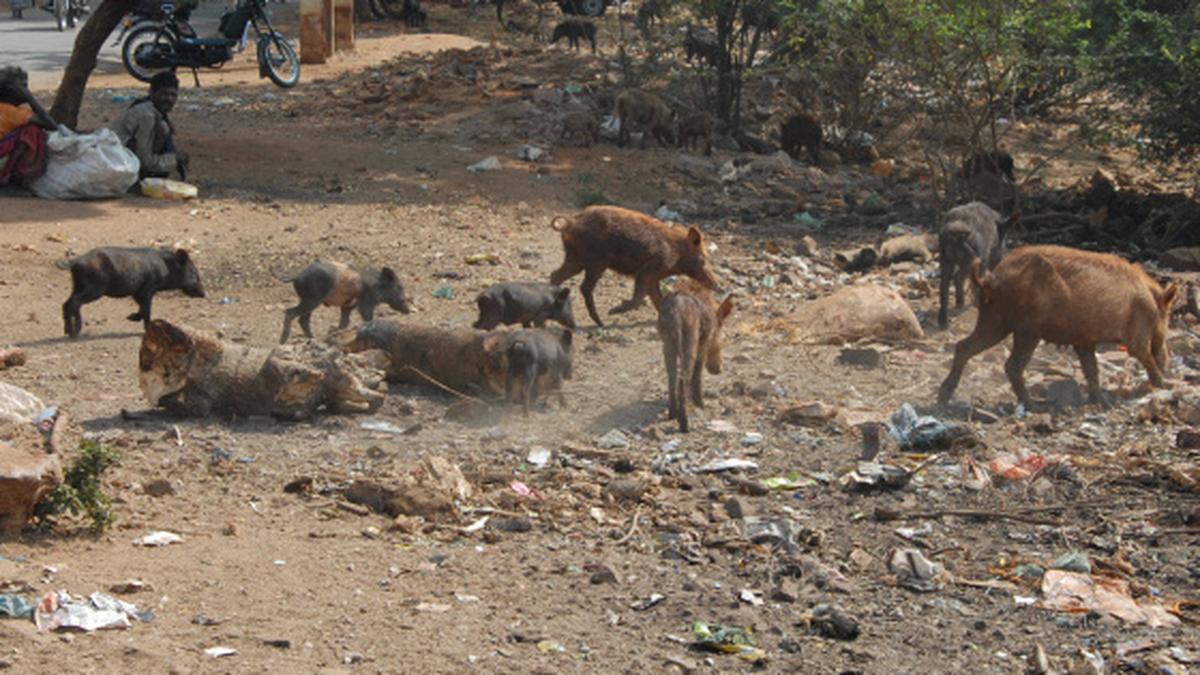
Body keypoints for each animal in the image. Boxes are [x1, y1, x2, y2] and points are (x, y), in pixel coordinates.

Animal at [62, 247, 206, 338]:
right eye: (194, 273)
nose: (204, 294)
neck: (166, 269)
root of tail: (75, 264)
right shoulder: (148, 289)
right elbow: (147, 311)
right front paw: (145, 329)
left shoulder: (137, 292)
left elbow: (142, 309)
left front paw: (129, 317)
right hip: (95, 289)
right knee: (74, 302)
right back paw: (75, 333)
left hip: (77, 286)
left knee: (66, 303)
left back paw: (67, 332)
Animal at [280, 261, 410, 343]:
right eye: (399, 287)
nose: (407, 310)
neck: (377, 286)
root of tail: (296, 276)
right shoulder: (366, 303)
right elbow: (367, 318)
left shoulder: (347, 306)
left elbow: (344, 323)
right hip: (311, 300)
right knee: (290, 312)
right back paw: (283, 341)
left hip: (309, 301)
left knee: (303, 320)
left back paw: (313, 338)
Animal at [549, 205, 718, 327]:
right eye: (703, 260)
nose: (717, 285)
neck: (675, 253)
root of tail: (570, 223)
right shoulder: (647, 270)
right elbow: (639, 298)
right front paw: (613, 311)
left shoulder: (654, 278)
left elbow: (658, 300)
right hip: (596, 261)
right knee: (584, 287)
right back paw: (602, 322)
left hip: (575, 258)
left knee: (556, 275)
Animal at [657, 280, 734, 432]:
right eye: (720, 338)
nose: (719, 369)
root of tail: (676, 313)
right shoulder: (703, 344)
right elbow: (698, 373)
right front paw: (700, 404)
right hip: (690, 339)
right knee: (683, 378)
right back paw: (684, 424)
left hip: (667, 342)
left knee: (672, 377)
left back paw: (672, 414)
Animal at [937, 245, 1180, 409]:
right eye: (1166, 318)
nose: (1168, 361)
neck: (1151, 301)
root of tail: (991, 279)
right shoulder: (1135, 334)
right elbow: (1143, 355)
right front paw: (1162, 385)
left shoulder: (1084, 341)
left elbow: (1091, 369)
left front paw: (1100, 401)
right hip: (1026, 330)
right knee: (1011, 365)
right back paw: (1032, 405)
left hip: (993, 321)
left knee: (963, 347)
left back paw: (944, 397)